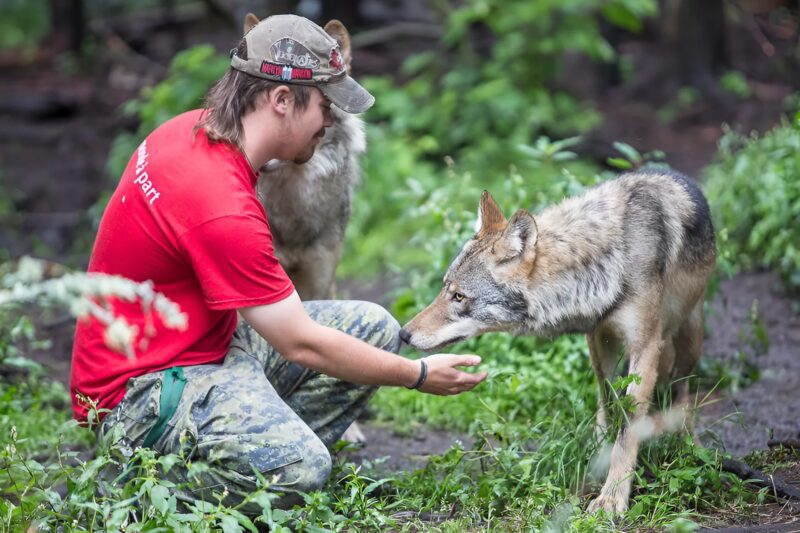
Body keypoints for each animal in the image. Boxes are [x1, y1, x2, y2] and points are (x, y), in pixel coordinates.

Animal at [400, 170, 717, 513]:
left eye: (459, 297)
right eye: (444, 288)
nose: (404, 333)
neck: (609, 258)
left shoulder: (644, 347)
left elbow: (628, 425)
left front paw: (612, 497)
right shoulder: (600, 335)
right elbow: (608, 402)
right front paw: (599, 453)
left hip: (688, 338)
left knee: (682, 390)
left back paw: (687, 443)